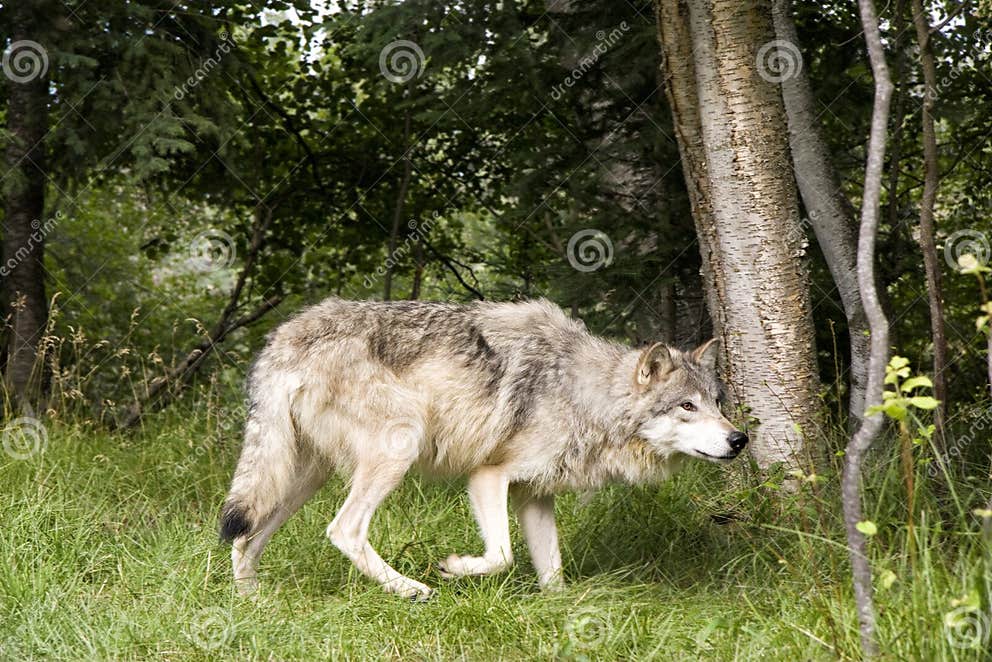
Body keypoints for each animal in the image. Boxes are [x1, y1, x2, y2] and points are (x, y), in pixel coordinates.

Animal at [219, 297, 747, 599]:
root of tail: (283, 338)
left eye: (718, 403)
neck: (583, 393)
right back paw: (412, 589)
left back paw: (253, 605)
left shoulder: (536, 495)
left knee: (246, 536)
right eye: (686, 406)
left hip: (304, 477)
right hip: (396, 451)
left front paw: (562, 615)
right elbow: (502, 556)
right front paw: (455, 568)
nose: (739, 439)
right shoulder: (488, 476)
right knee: (342, 530)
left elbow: (553, 574)